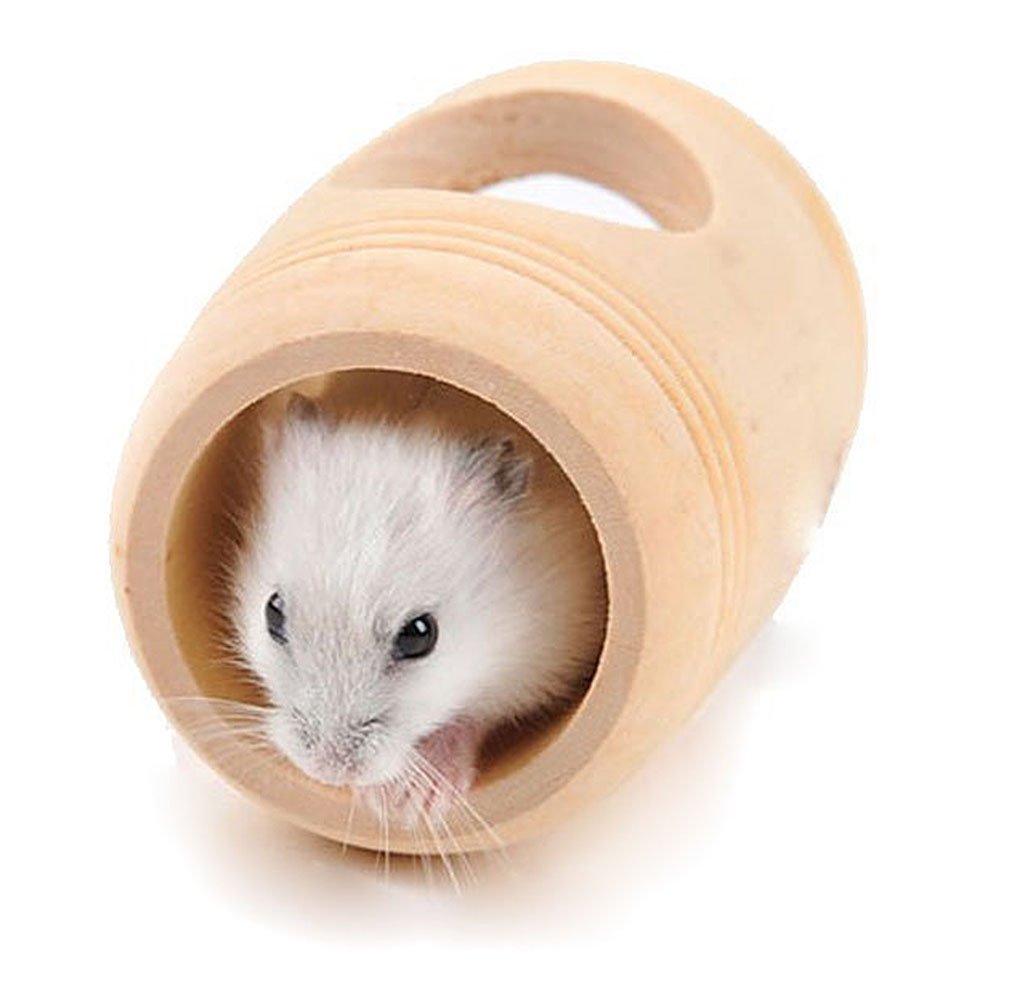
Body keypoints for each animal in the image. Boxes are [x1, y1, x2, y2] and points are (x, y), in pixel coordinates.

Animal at [230, 390, 605, 826]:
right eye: (272, 613)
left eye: (419, 636)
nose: (327, 771)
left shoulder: (540, 659)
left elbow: (474, 714)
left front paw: (406, 805)